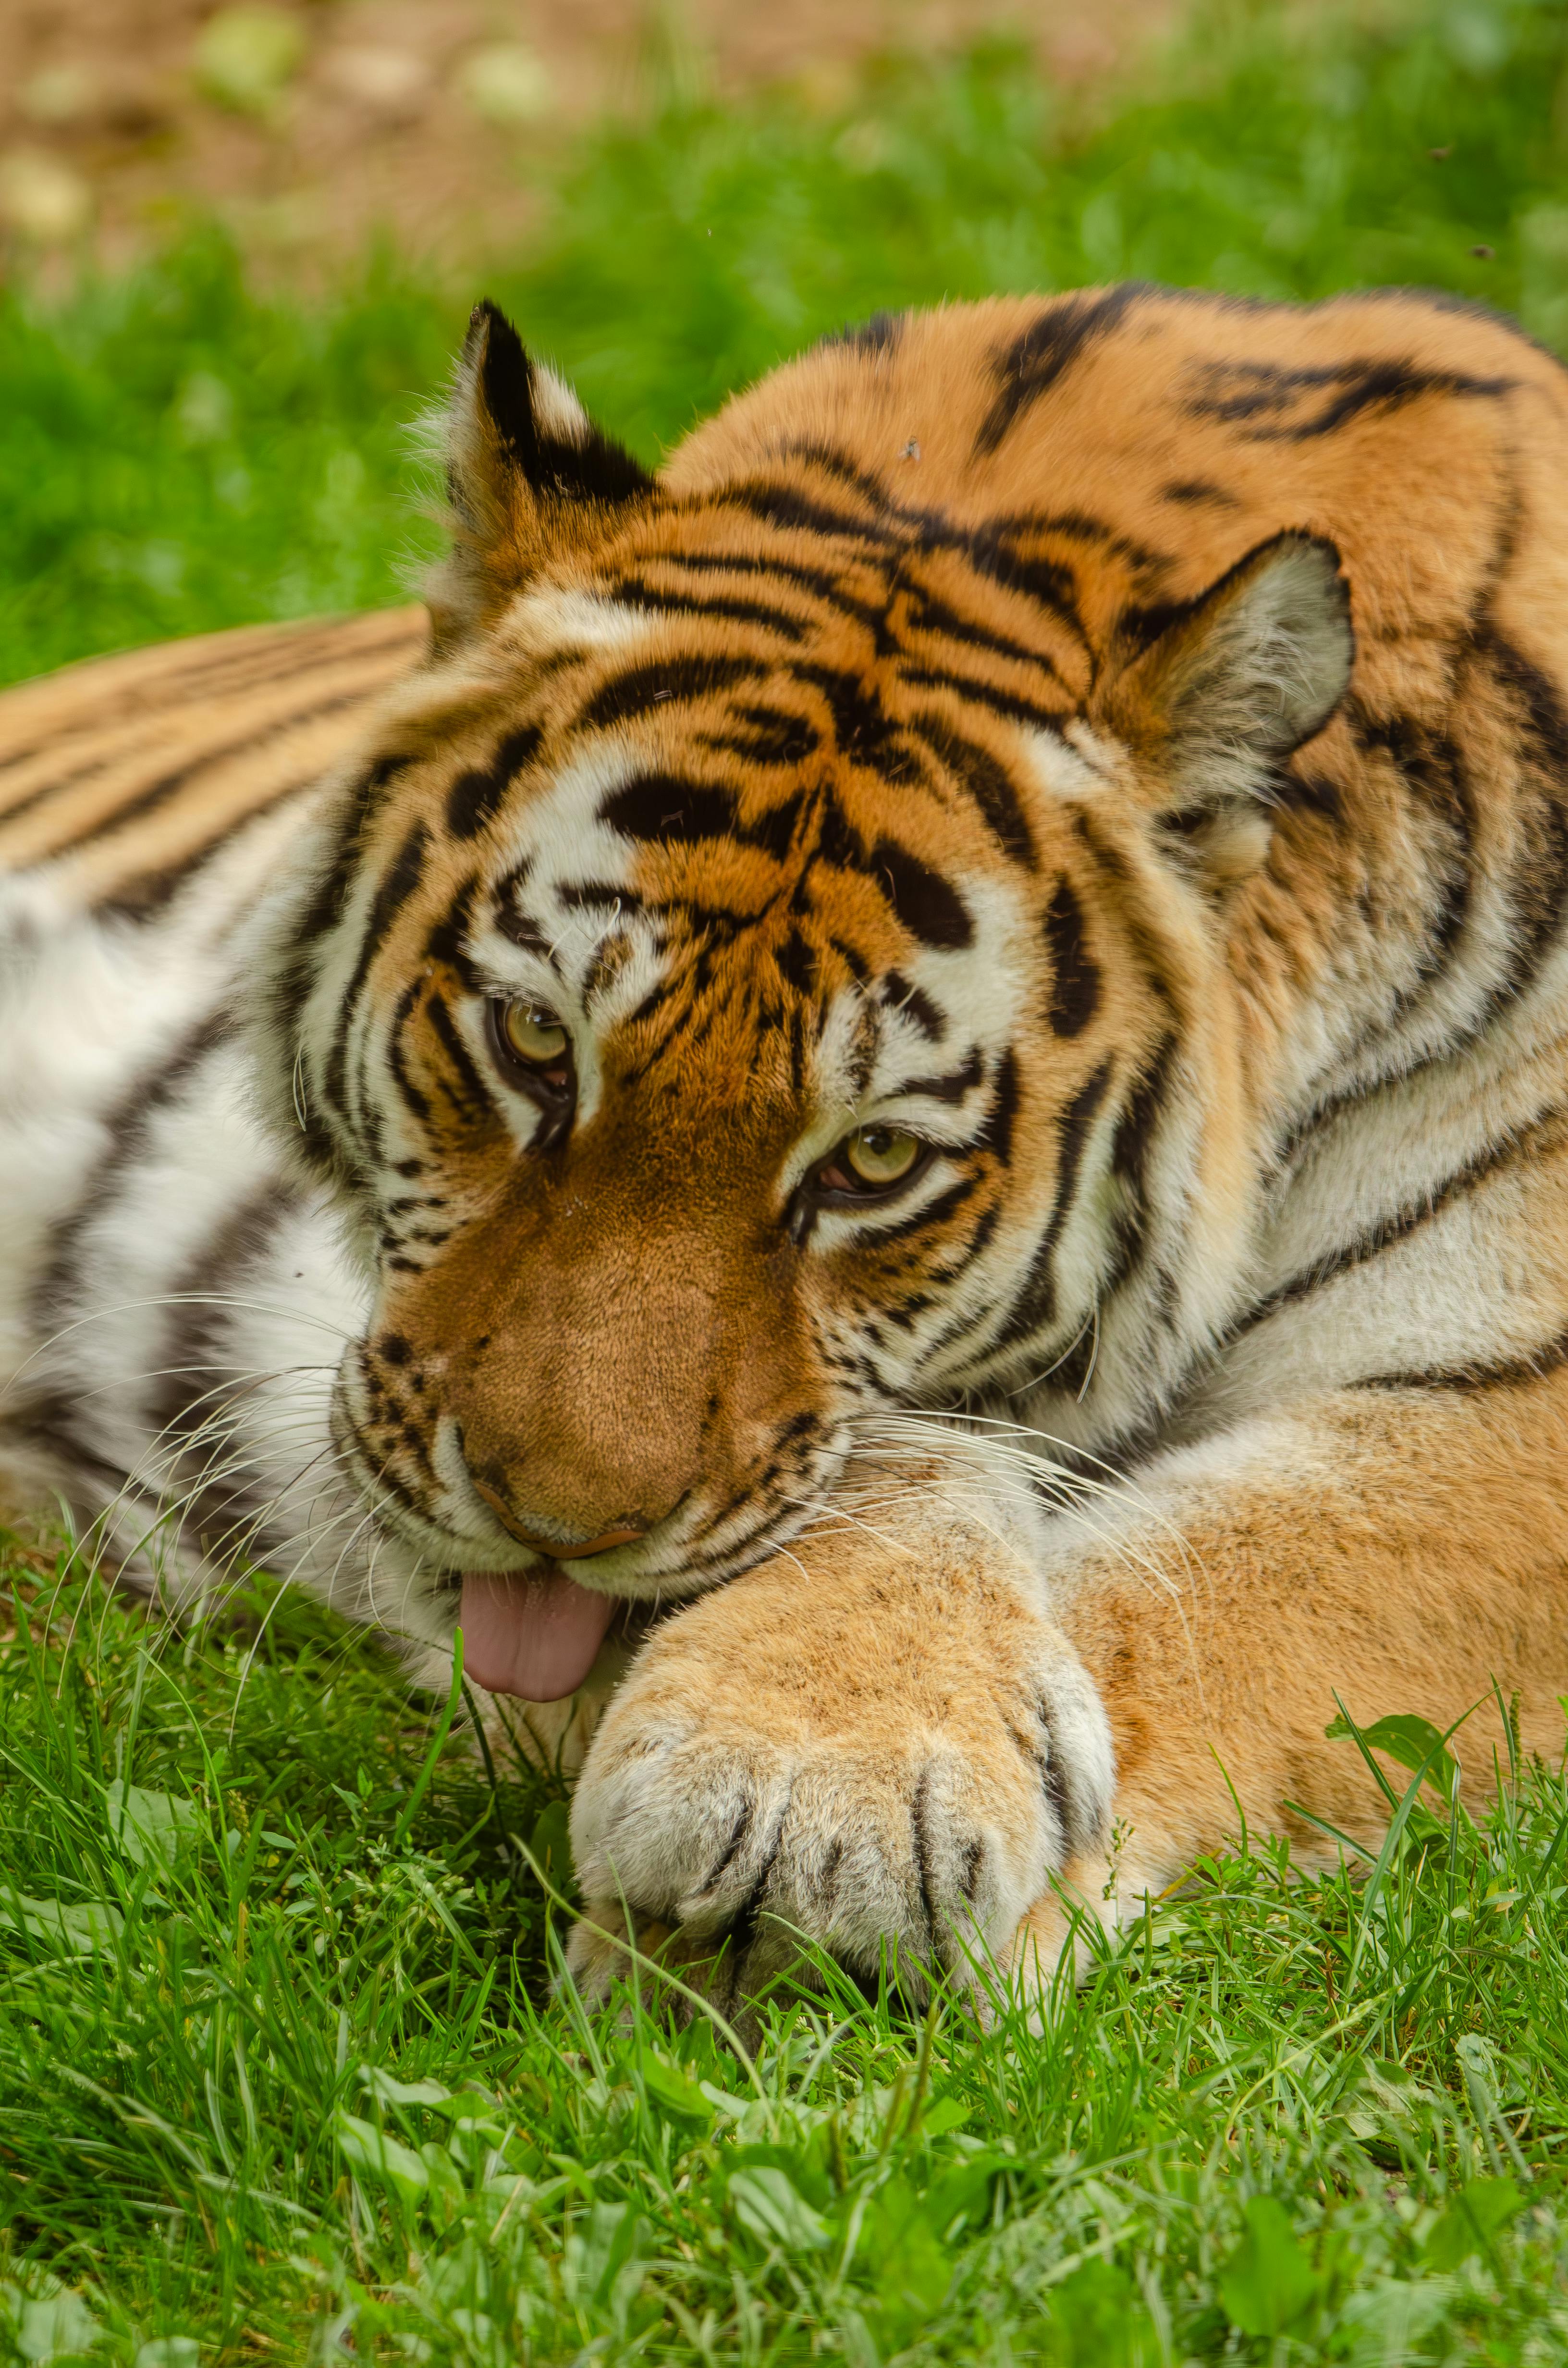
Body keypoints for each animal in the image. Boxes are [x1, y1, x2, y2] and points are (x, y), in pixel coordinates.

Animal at [5, 280, 1568, 2015]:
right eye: (534, 1041)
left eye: (875, 1163)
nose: (557, 1533)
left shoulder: (1520, 1413)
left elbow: (1198, 1568)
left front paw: (818, 1801)